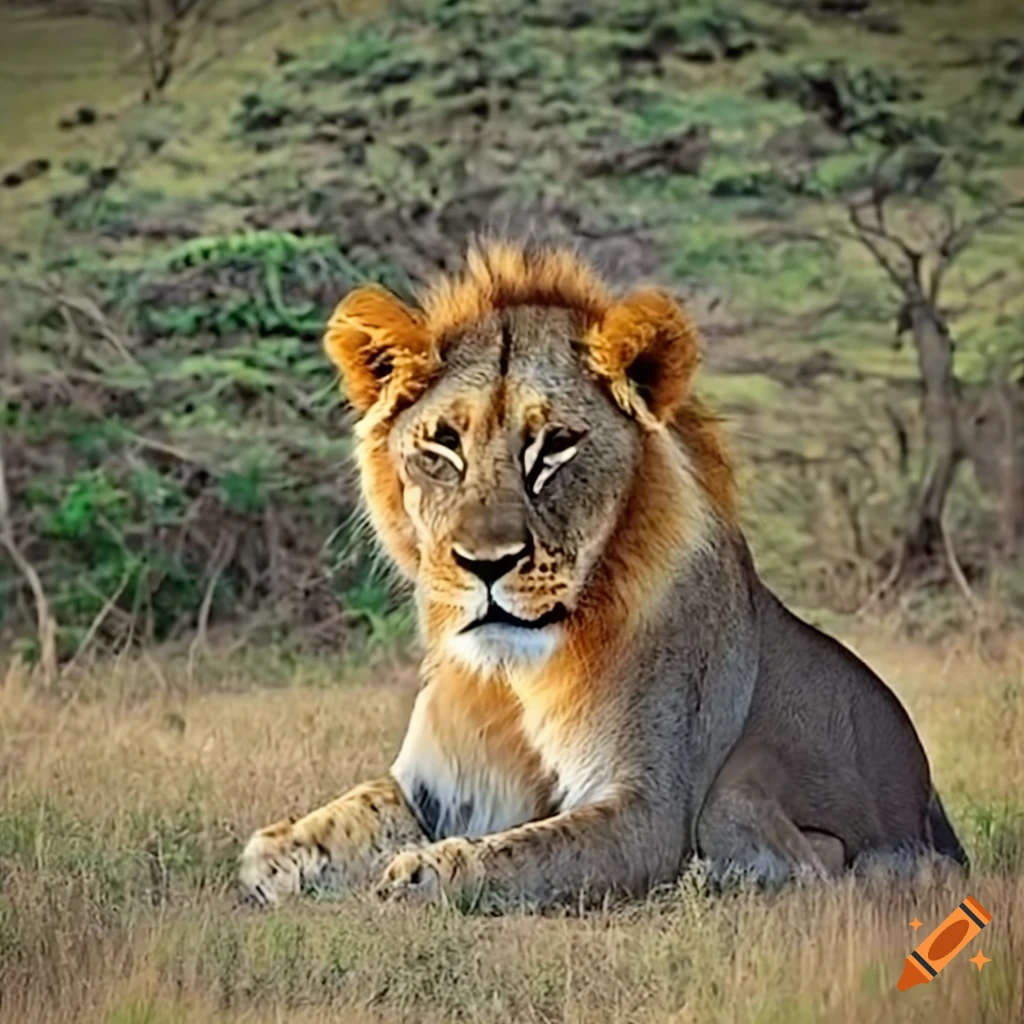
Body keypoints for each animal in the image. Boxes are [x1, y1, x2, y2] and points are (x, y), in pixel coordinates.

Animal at [239, 239, 967, 908]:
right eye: (443, 446)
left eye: (555, 448)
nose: (485, 565)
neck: (516, 675)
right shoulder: (433, 789)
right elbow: (335, 819)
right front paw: (280, 856)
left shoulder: (647, 810)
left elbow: (519, 854)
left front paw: (422, 872)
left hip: (743, 795)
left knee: (820, 869)